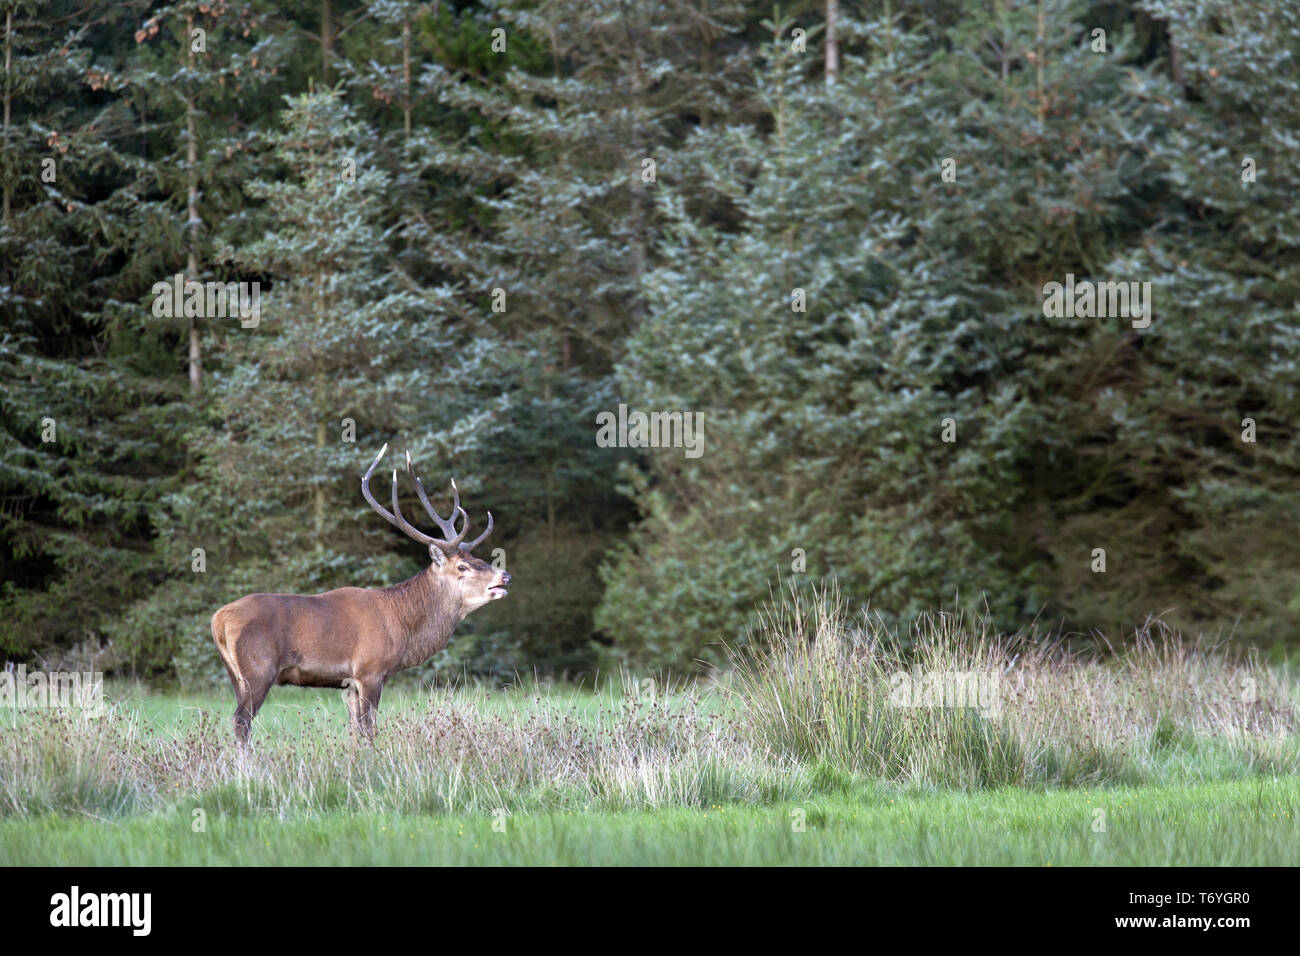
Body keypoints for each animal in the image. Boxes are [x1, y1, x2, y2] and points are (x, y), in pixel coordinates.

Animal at [211, 444, 511, 744]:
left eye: (477, 558)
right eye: (462, 566)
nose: (504, 576)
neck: (404, 625)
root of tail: (218, 619)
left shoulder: (350, 682)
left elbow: (355, 731)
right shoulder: (370, 670)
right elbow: (369, 729)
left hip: (234, 674)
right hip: (258, 669)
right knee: (241, 721)